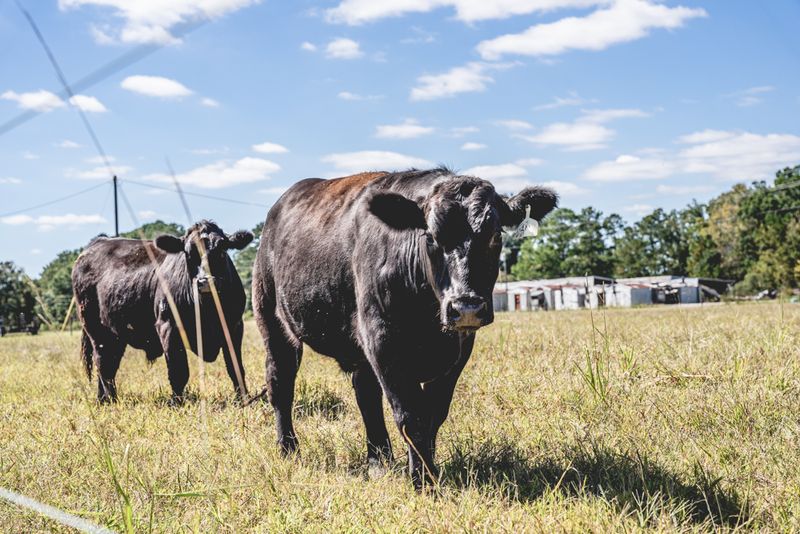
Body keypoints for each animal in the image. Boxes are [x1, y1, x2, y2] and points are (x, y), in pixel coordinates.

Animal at [72, 221, 254, 404]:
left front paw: (243, 399)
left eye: (222, 250)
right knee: (104, 364)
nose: (206, 282)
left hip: (115, 334)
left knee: (110, 363)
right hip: (95, 329)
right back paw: (111, 400)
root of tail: (99, 241)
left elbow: (235, 368)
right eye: (188, 254)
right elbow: (178, 371)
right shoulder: (168, 326)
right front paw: (177, 403)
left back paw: (103, 400)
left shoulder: (235, 326)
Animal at [252, 168, 557, 488]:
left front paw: (428, 469)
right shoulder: (383, 342)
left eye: (495, 235)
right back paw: (288, 449)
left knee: (366, 394)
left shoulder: (459, 349)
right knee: (280, 384)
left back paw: (379, 460)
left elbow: (433, 414)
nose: (466, 306)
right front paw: (422, 480)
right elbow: (411, 416)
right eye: (431, 236)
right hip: (273, 323)